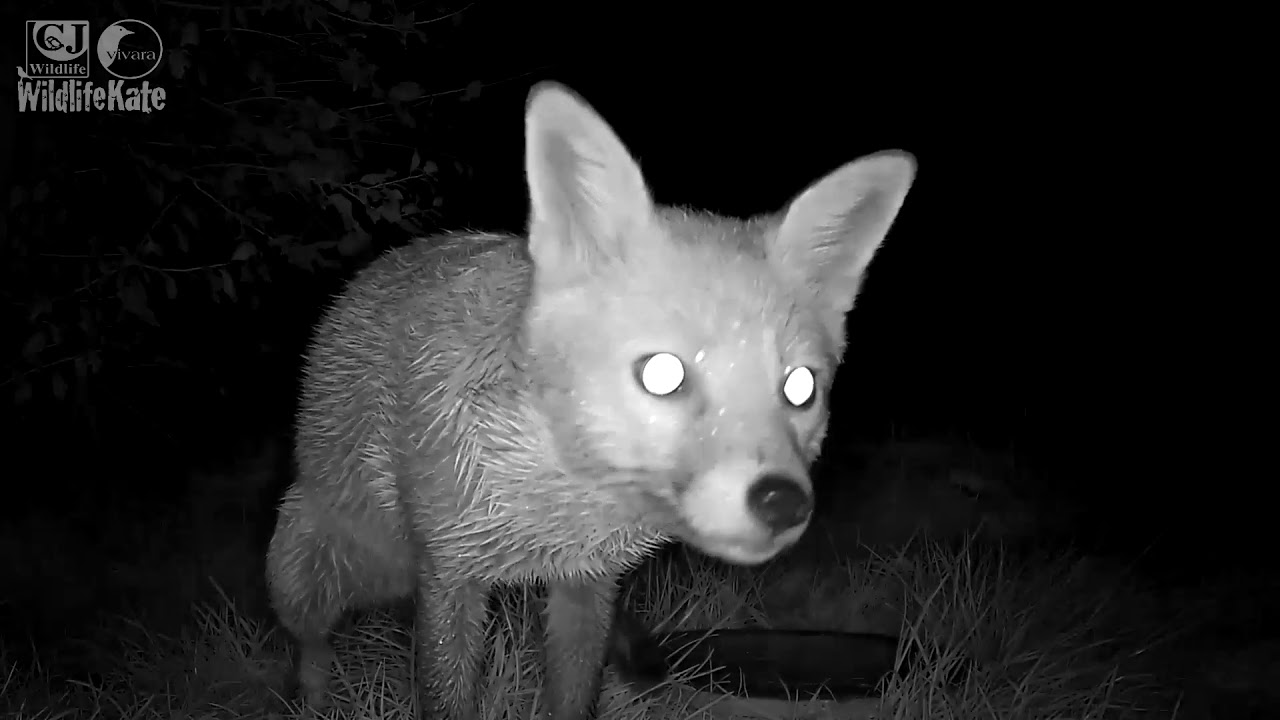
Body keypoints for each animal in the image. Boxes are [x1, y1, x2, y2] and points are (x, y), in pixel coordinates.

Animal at [264, 81, 916, 720]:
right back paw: (311, 704)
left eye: (801, 387)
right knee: (312, 647)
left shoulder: (588, 583)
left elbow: (574, 694)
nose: (783, 503)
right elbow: (447, 696)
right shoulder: (449, 573)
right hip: (305, 579)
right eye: (661, 373)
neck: (556, 515)